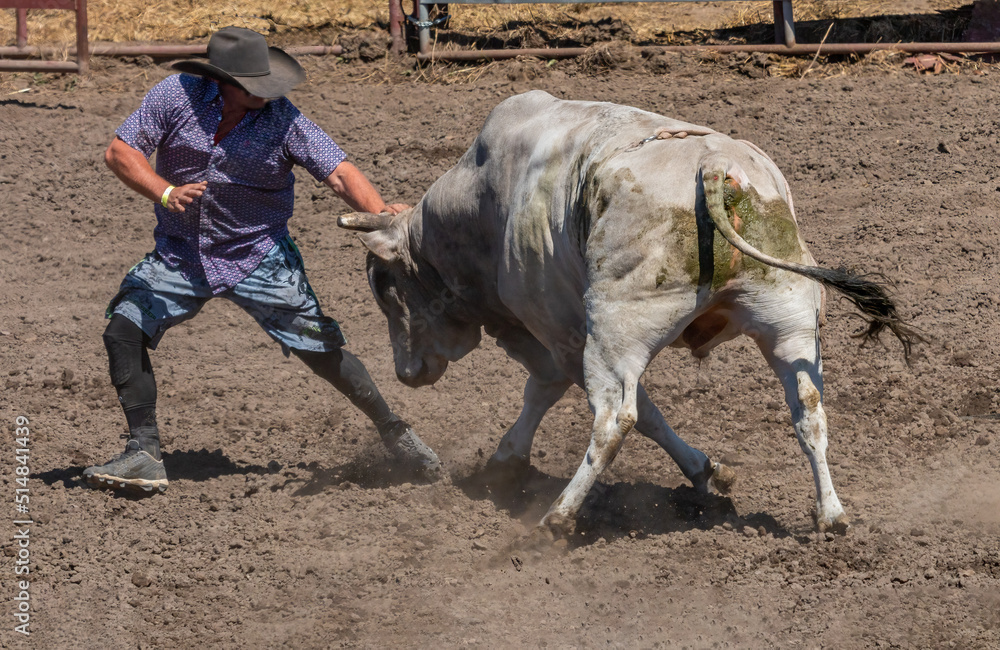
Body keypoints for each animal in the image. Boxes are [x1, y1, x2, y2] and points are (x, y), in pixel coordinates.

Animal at [337, 90, 918, 538]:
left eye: (385, 290)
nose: (405, 373)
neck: (482, 201)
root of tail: (714, 167)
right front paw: (707, 472)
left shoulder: (562, 333)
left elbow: (552, 389)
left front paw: (507, 462)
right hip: (789, 325)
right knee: (808, 409)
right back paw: (831, 516)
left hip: (616, 334)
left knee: (615, 419)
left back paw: (559, 518)